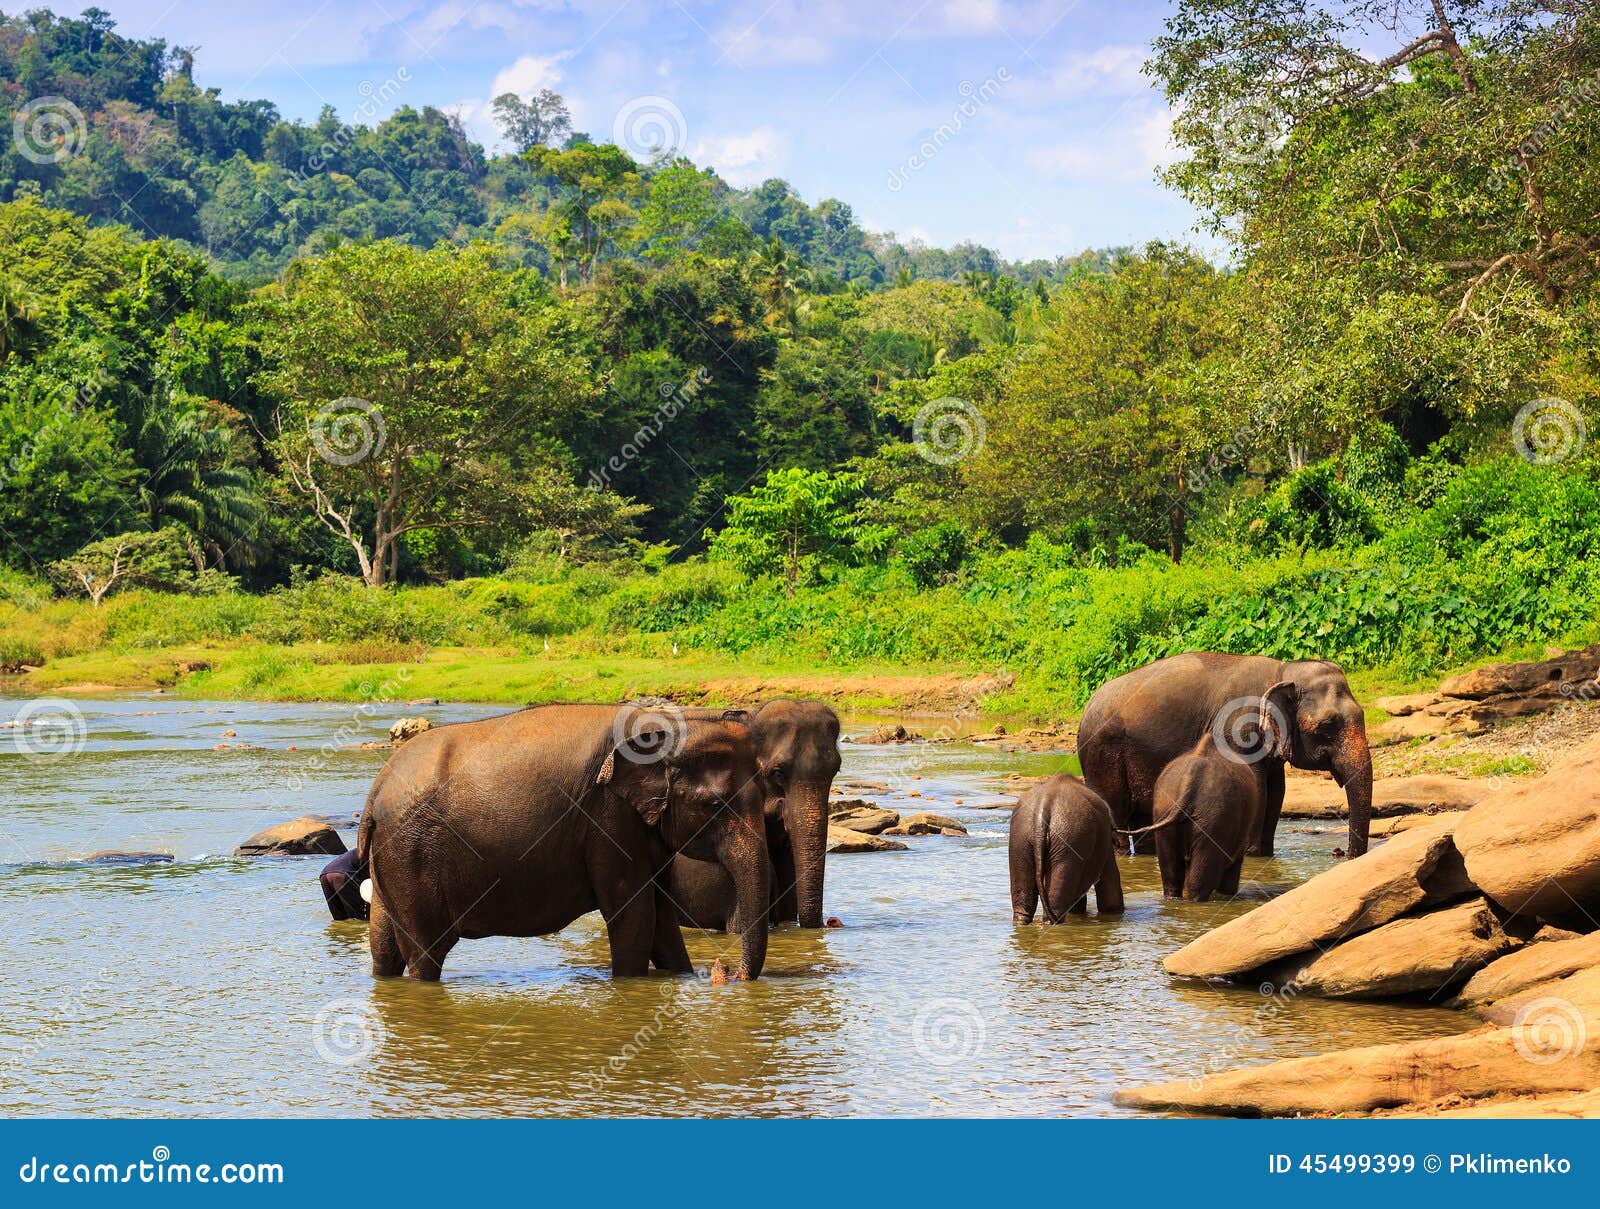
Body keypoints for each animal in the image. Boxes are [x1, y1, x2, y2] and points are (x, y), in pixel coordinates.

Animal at [356, 703, 771, 981]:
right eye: (714, 805)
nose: (724, 970)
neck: (666, 724)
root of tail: (375, 791)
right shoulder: (609, 816)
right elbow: (633, 913)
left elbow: (662, 915)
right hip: (411, 854)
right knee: (425, 955)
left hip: (391, 859)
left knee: (384, 947)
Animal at [1008, 774, 1125, 922]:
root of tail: (1044, 805)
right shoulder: (1105, 838)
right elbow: (1109, 879)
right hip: (1068, 839)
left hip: (1020, 838)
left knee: (1023, 906)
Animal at [1077, 653, 1374, 859]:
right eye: (1328, 725)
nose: (1340, 854)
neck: (1282, 670)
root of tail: (1087, 706)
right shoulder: (1239, 729)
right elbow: (1258, 789)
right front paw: (1252, 855)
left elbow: (1276, 790)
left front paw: (1265, 854)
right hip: (1101, 754)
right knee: (1115, 809)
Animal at [1121, 733, 1267, 902]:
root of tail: (1190, 780)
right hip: (1215, 817)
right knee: (1200, 879)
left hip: (1164, 810)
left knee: (1171, 874)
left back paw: (1174, 898)